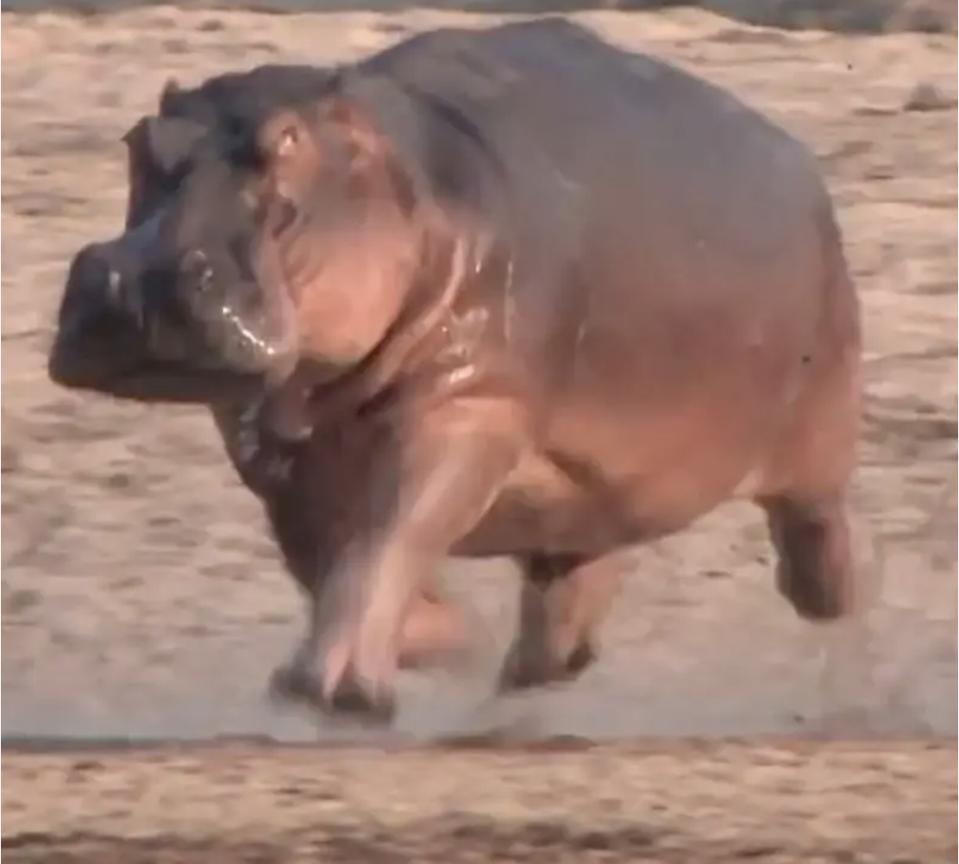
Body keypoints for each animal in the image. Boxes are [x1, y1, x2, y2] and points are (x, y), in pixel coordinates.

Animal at [48, 19, 862, 721]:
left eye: (288, 140)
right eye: (136, 139)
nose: (139, 281)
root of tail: (796, 157)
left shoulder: (471, 405)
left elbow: (392, 531)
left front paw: (333, 691)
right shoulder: (270, 444)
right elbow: (329, 554)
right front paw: (449, 639)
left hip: (817, 428)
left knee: (818, 549)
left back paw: (852, 616)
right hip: (606, 492)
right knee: (569, 595)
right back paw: (533, 678)